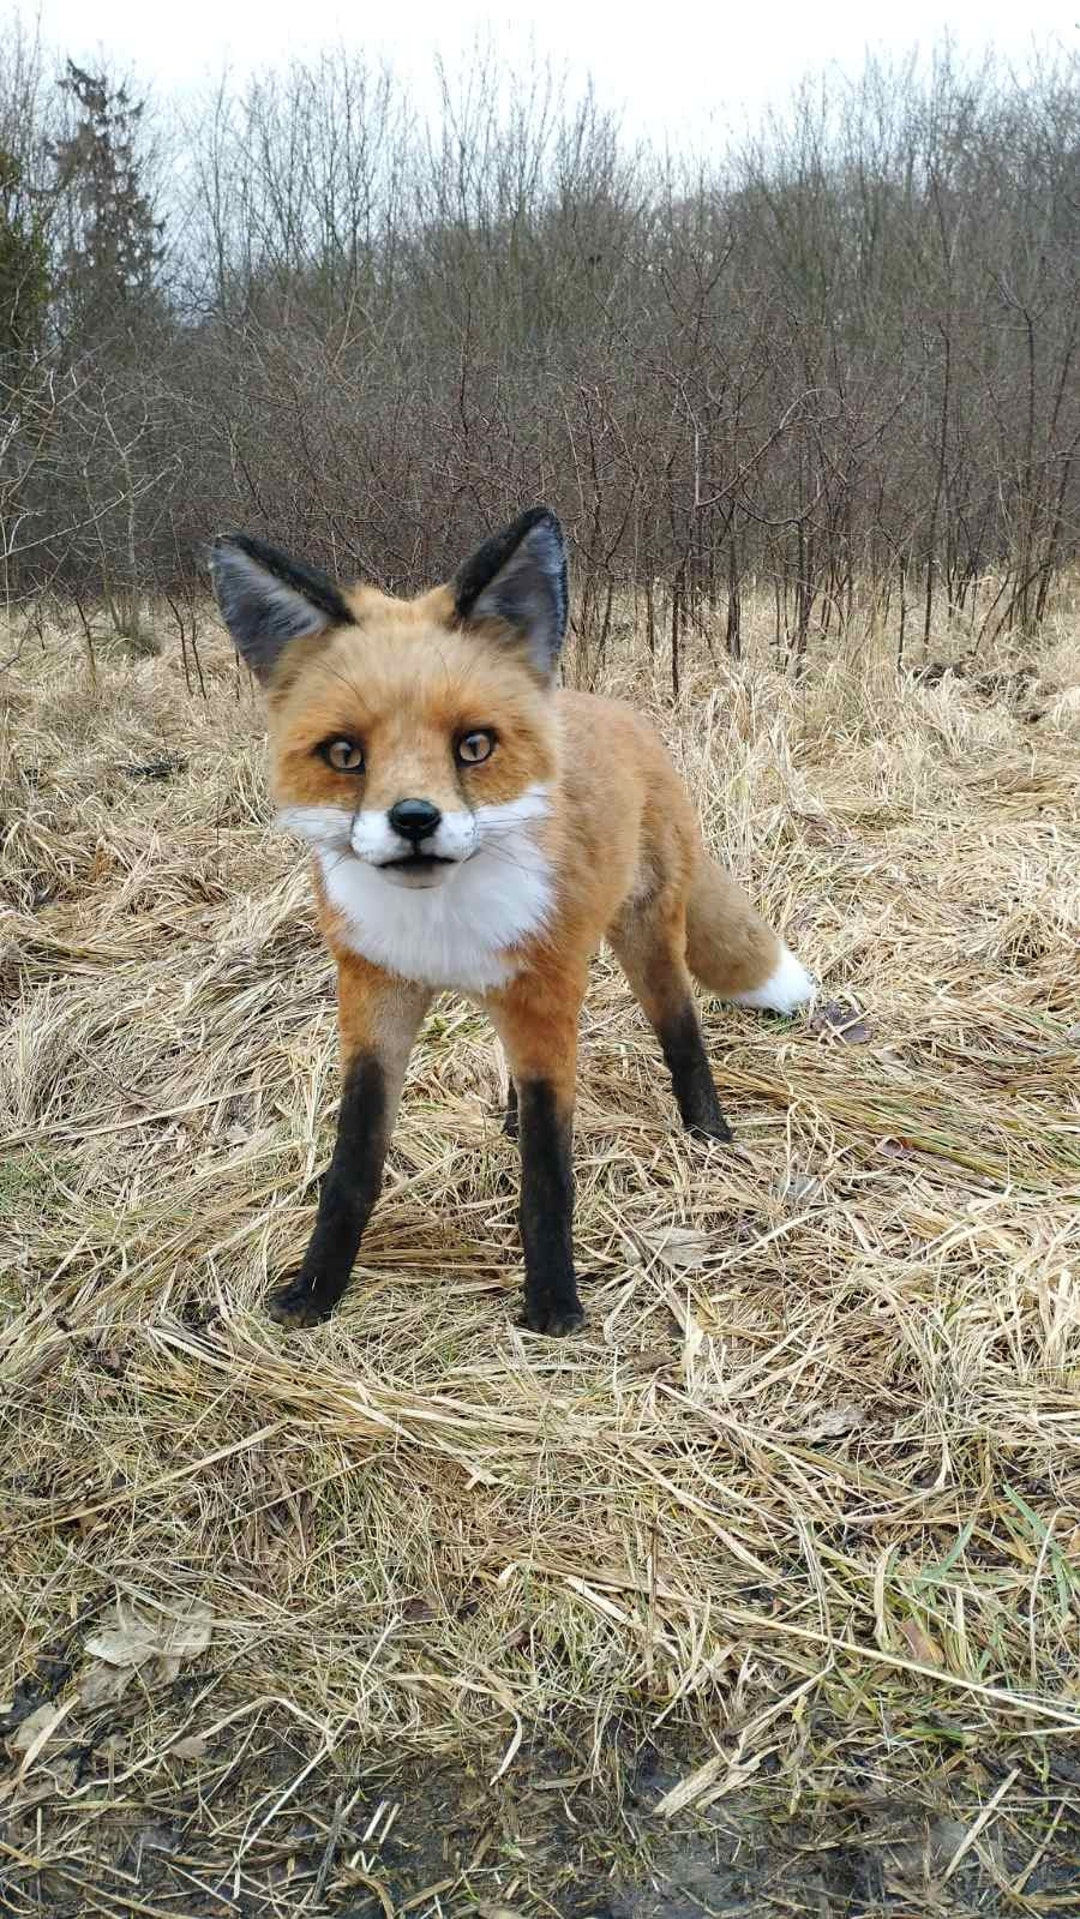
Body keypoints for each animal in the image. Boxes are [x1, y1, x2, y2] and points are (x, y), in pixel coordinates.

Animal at [209, 508, 814, 1335]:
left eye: (474, 746)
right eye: (344, 754)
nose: (414, 820)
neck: (439, 927)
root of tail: (610, 707)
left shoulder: (544, 997)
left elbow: (546, 1174)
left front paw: (554, 1306)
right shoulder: (375, 992)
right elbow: (351, 1167)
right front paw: (314, 1291)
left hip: (646, 946)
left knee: (683, 1036)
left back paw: (708, 1133)